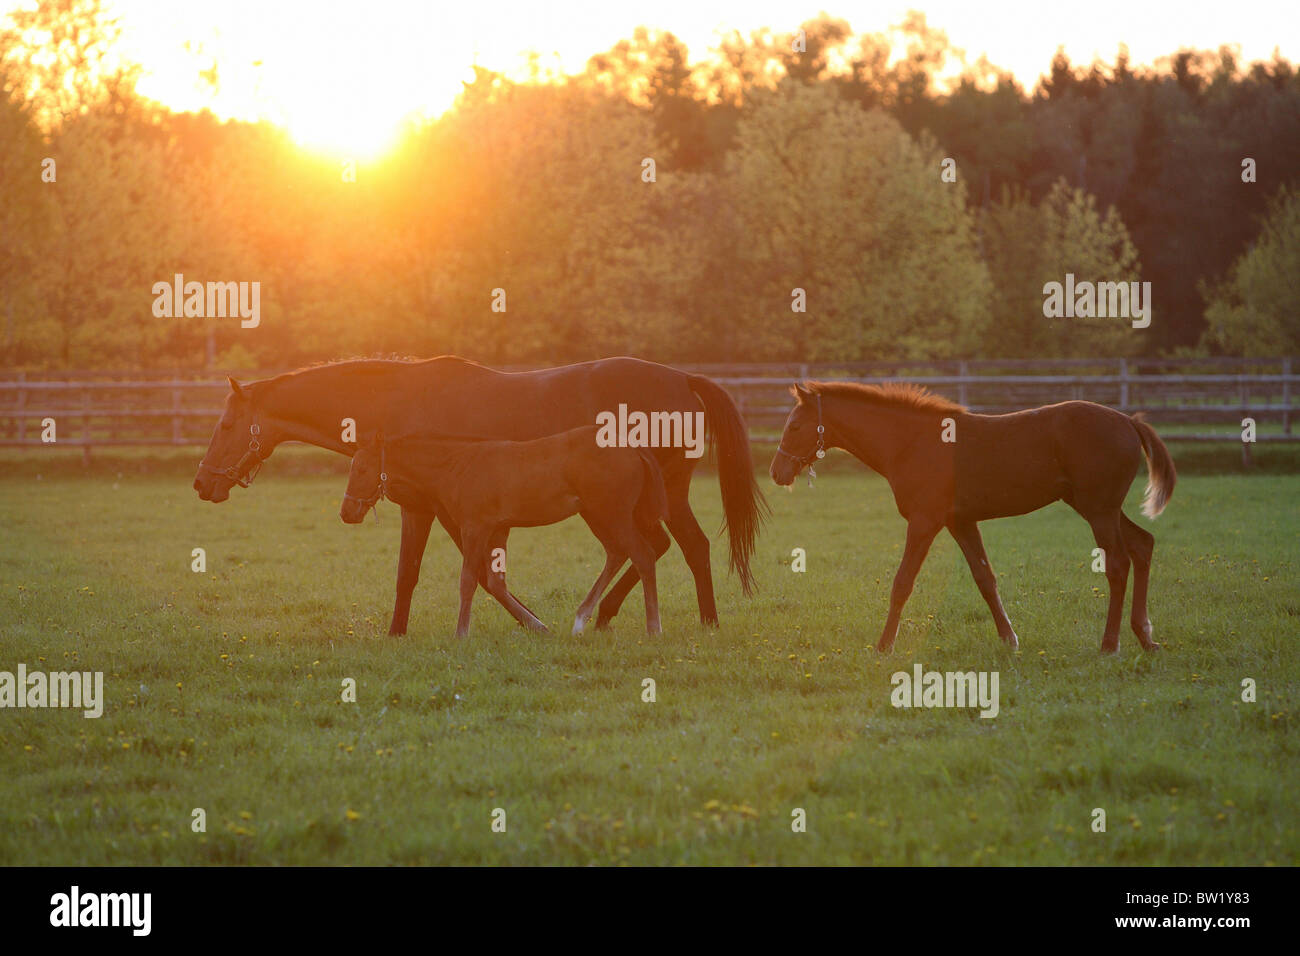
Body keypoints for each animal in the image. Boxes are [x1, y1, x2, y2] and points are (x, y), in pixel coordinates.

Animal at [339, 428, 670, 636]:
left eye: (362, 470)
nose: (346, 512)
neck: (457, 465)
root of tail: (632, 447)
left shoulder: (475, 528)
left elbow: (469, 580)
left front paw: (461, 633)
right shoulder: (499, 530)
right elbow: (496, 583)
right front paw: (538, 627)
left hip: (611, 513)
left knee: (642, 553)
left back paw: (654, 628)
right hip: (596, 515)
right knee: (617, 553)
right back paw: (580, 620)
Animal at [769, 382, 1177, 654]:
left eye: (795, 426)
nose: (777, 472)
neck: (911, 442)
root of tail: (1129, 421)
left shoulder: (924, 521)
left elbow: (902, 583)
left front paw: (884, 645)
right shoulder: (960, 522)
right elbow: (985, 578)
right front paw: (1009, 639)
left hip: (1098, 510)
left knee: (1119, 563)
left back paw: (1110, 643)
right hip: (1098, 507)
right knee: (1143, 545)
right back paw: (1145, 636)